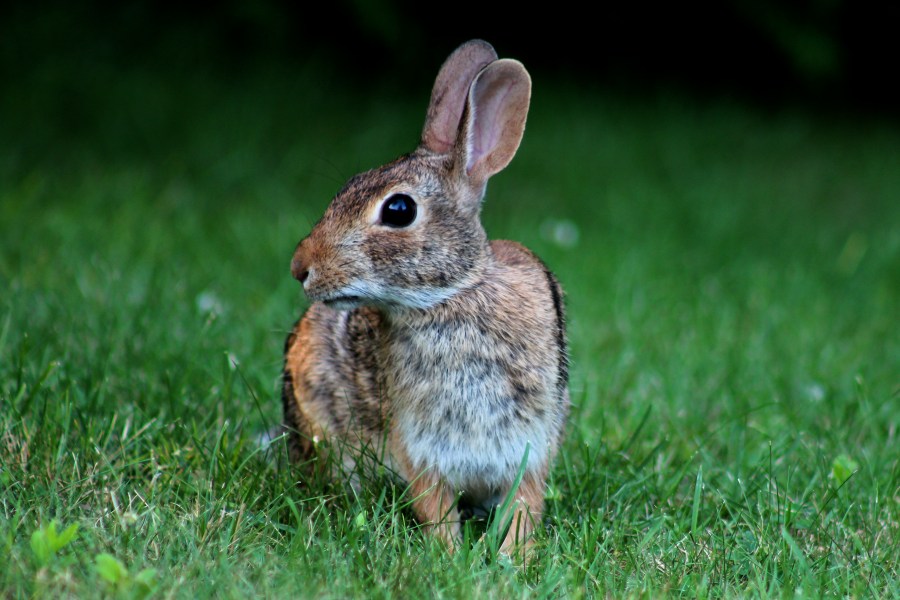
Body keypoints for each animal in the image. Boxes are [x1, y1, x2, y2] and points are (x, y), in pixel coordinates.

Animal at [281, 39, 569, 556]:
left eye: (398, 209)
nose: (300, 267)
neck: (454, 295)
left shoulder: (530, 444)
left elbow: (525, 506)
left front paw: (514, 558)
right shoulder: (419, 446)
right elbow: (435, 507)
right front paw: (450, 557)